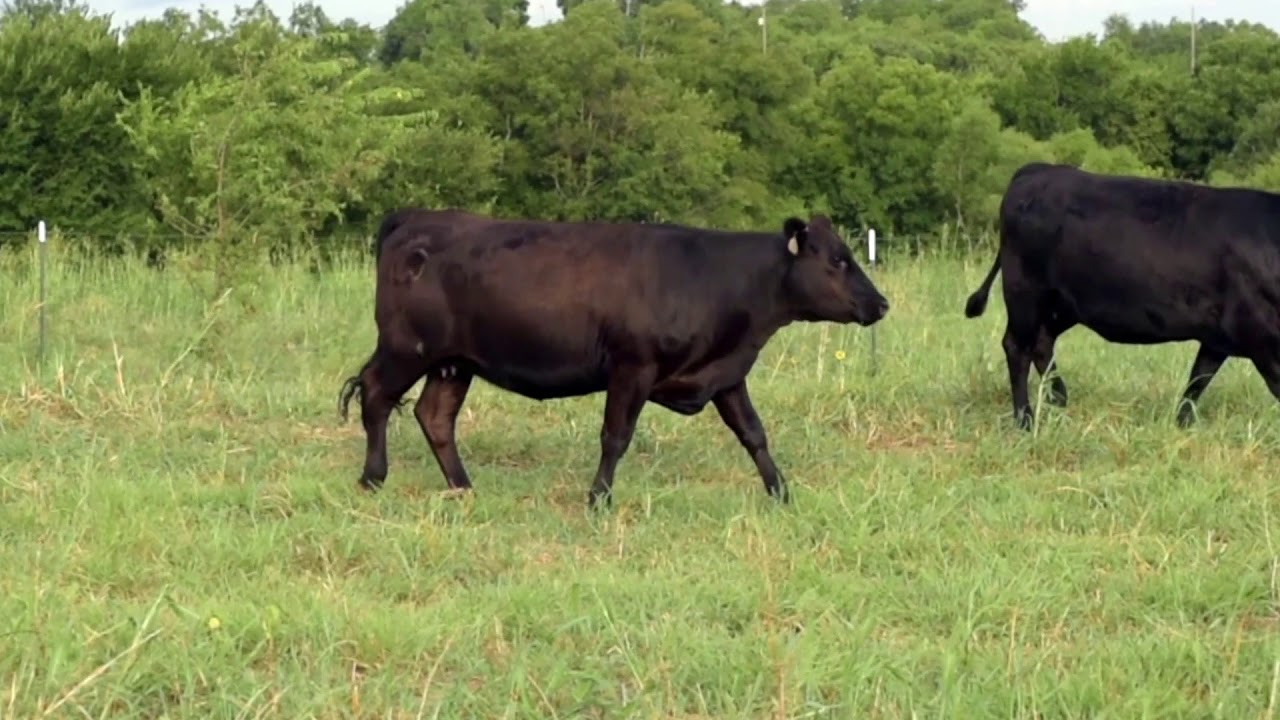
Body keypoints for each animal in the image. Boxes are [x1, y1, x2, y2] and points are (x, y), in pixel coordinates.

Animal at [339, 209, 890, 508]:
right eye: (838, 260)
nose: (881, 303)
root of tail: (416, 218)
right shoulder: (633, 367)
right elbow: (615, 437)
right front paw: (599, 498)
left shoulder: (726, 374)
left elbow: (754, 434)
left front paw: (781, 493)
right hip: (406, 348)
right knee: (375, 394)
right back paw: (372, 477)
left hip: (454, 362)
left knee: (434, 416)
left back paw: (463, 486)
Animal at [964, 161, 1280, 430]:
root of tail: (1037, 170)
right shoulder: (1259, 334)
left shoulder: (1220, 335)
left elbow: (1198, 379)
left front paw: (1182, 424)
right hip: (1026, 291)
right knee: (1018, 347)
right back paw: (1025, 420)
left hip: (1062, 304)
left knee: (1042, 343)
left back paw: (1059, 399)